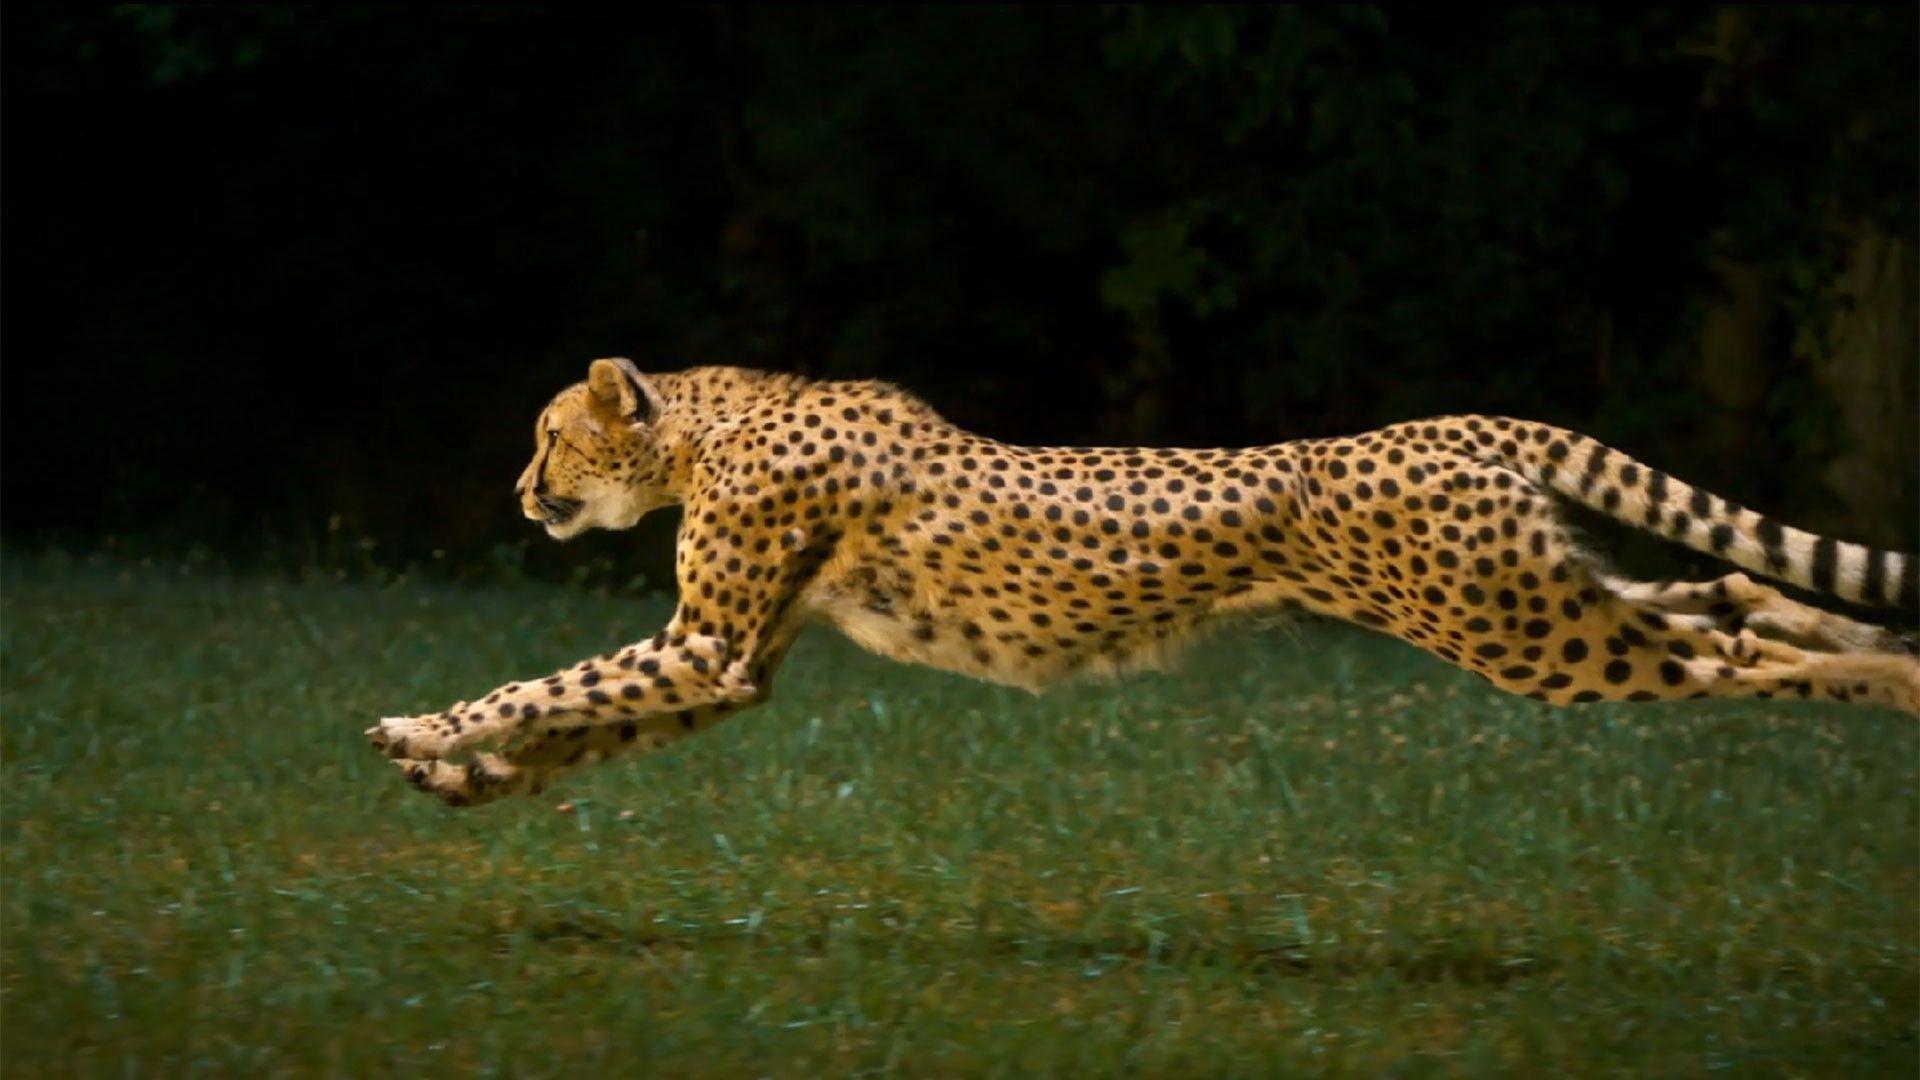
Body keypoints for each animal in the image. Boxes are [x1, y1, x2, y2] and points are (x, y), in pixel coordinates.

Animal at [367, 358, 1920, 806]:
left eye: (548, 437)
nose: (522, 494)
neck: (706, 426)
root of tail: (1462, 423)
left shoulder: (705, 641)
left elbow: (550, 684)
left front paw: (423, 730)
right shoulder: (733, 662)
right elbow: (585, 721)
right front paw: (467, 778)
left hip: (1526, 637)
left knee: (1735, 662)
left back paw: (1892, 680)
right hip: (1543, 598)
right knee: (1732, 605)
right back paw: (1874, 652)